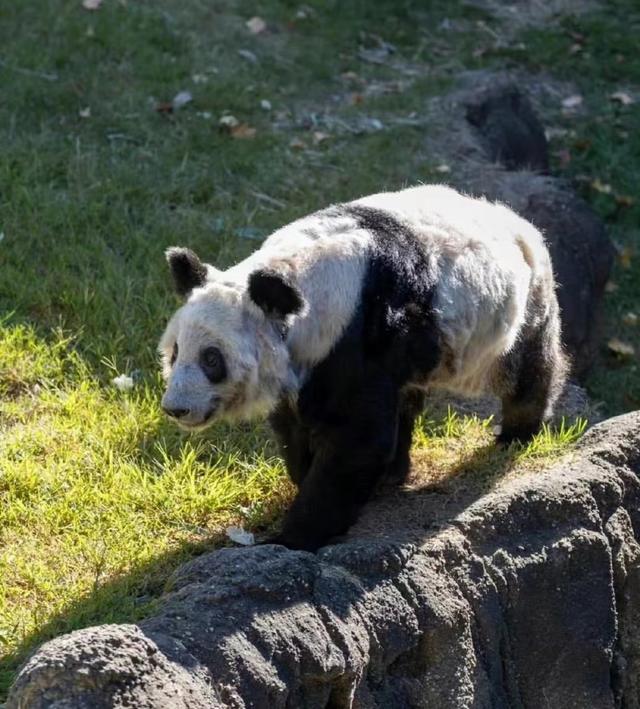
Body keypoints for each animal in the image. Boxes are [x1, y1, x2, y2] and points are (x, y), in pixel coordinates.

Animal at [159, 185, 568, 551]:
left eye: (212, 359)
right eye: (176, 352)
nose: (176, 408)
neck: (302, 284)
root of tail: (519, 222)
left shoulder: (357, 334)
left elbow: (357, 436)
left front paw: (295, 536)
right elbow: (297, 424)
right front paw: (307, 472)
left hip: (519, 307)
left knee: (525, 368)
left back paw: (517, 432)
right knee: (405, 398)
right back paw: (394, 471)